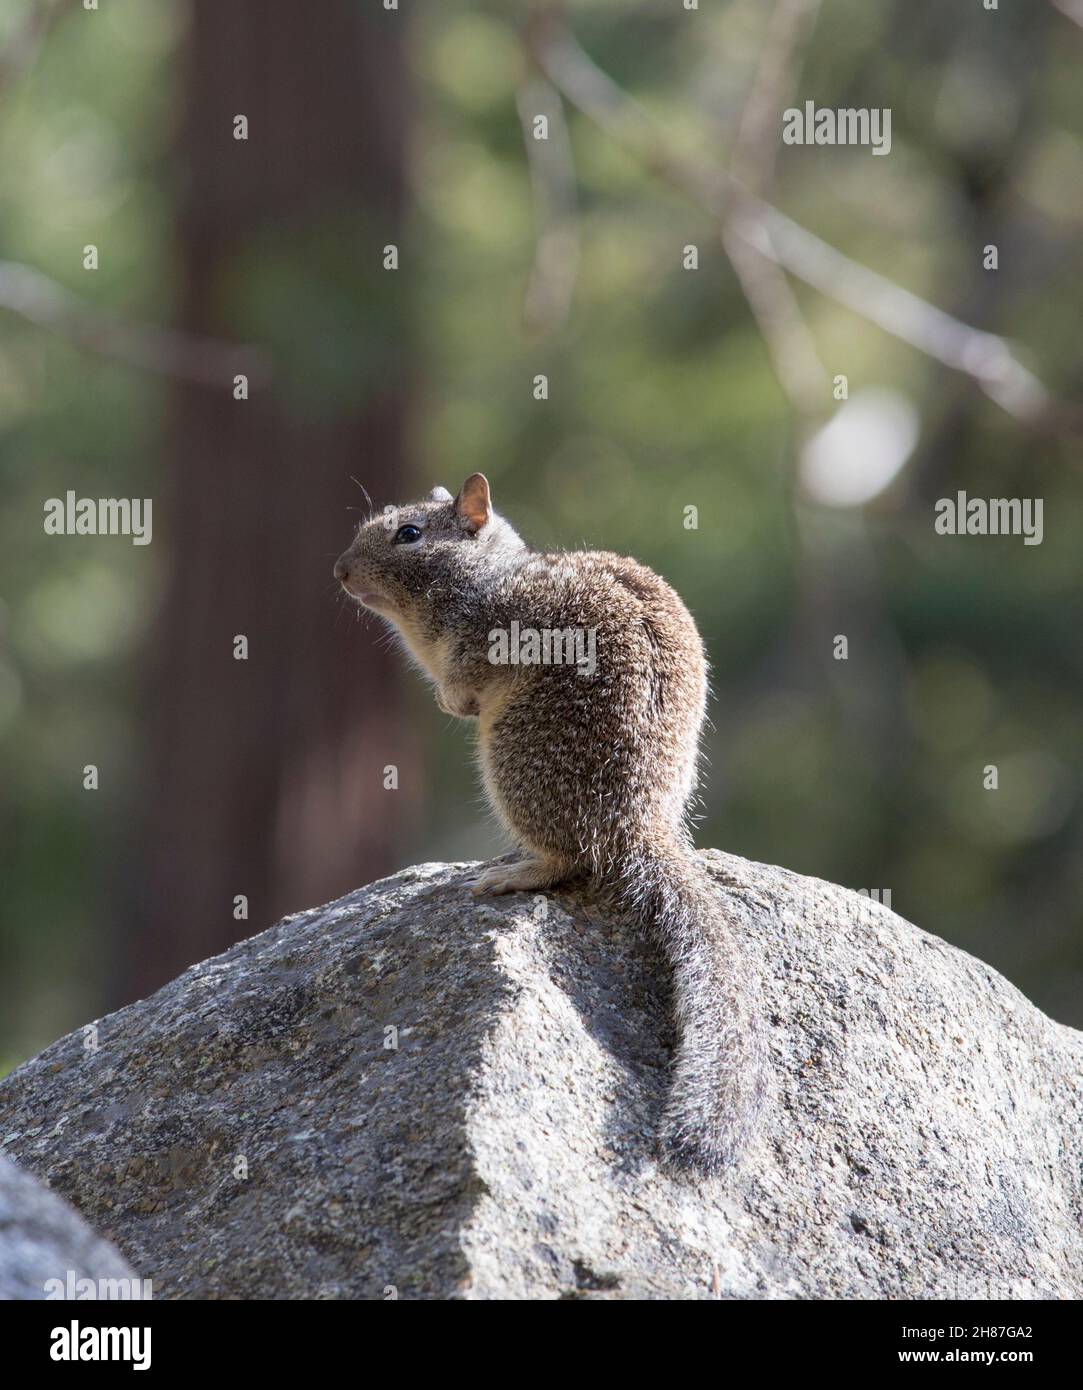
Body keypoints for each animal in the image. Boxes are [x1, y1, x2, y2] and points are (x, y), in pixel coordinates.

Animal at [334, 473, 765, 1174]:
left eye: (409, 534)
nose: (340, 571)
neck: (486, 579)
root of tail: (639, 826)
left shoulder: (478, 644)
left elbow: (463, 685)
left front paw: (450, 700)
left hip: (511, 751)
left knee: (571, 859)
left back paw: (512, 873)